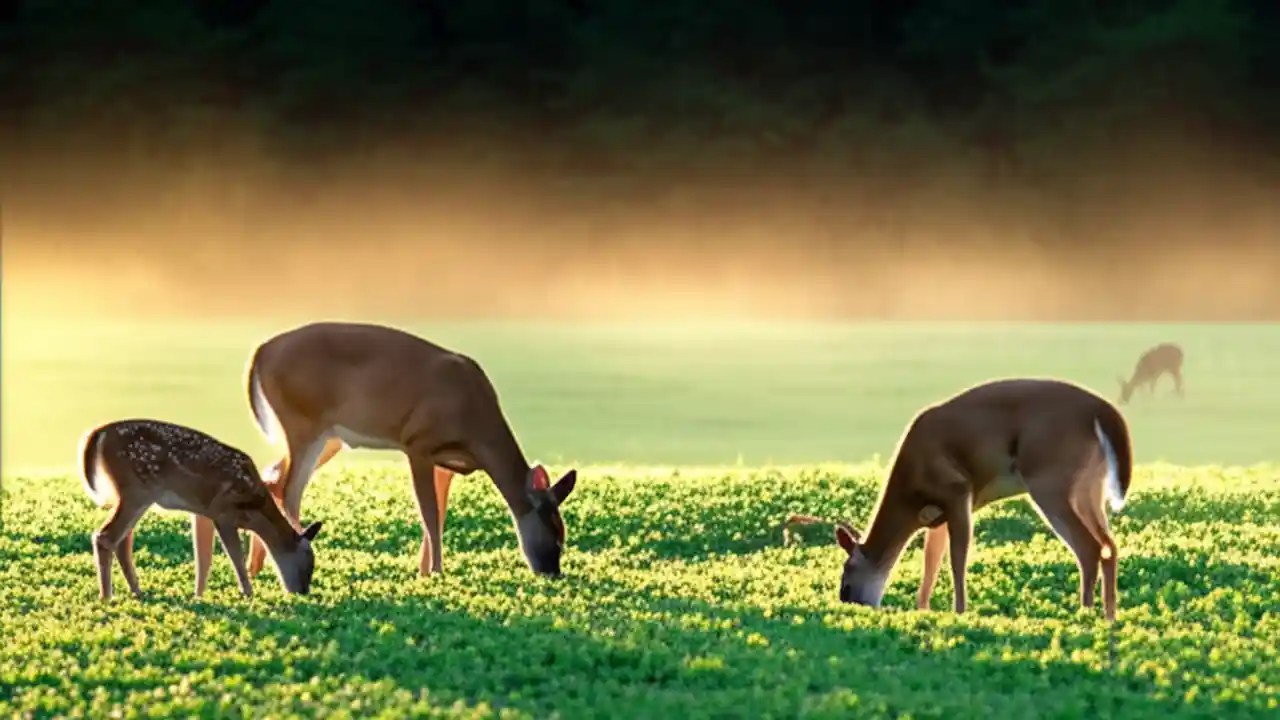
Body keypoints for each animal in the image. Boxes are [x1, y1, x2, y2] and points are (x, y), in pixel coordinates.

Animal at [79, 419, 323, 600]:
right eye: (308, 564)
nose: (303, 591)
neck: (254, 508)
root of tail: (98, 434)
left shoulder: (201, 511)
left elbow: (203, 558)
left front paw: (198, 595)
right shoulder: (222, 511)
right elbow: (234, 555)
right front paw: (247, 593)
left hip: (133, 495)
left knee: (121, 541)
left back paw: (137, 591)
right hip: (136, 490)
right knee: (105, 537)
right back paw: (107, 596)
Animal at [194, 321, 579, 590]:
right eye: (555, 533)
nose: (552, 573)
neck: (476, 425)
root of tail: (259, 351)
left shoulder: (448, 464)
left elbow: (439, 513)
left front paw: (425, 571)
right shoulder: (417, 443)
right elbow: (428, 513)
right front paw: (436, 572)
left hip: (329, 437)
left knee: (273, 477)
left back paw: (259, 566)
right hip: (303, 422)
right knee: (289, 489)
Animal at [833, 378, 1132, 622]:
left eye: (846, 584)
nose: (855, 605)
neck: (910, 496)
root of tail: (1102, 412)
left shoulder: (958, 491)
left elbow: (956, 559)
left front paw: (959, 611)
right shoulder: (937, 517)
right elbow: (931, 562)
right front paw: (923, 609)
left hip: (1050, 480)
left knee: (1090, 547)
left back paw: (1084, 612)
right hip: (1089, 488)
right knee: (1110, 546)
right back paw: (1109, 615)